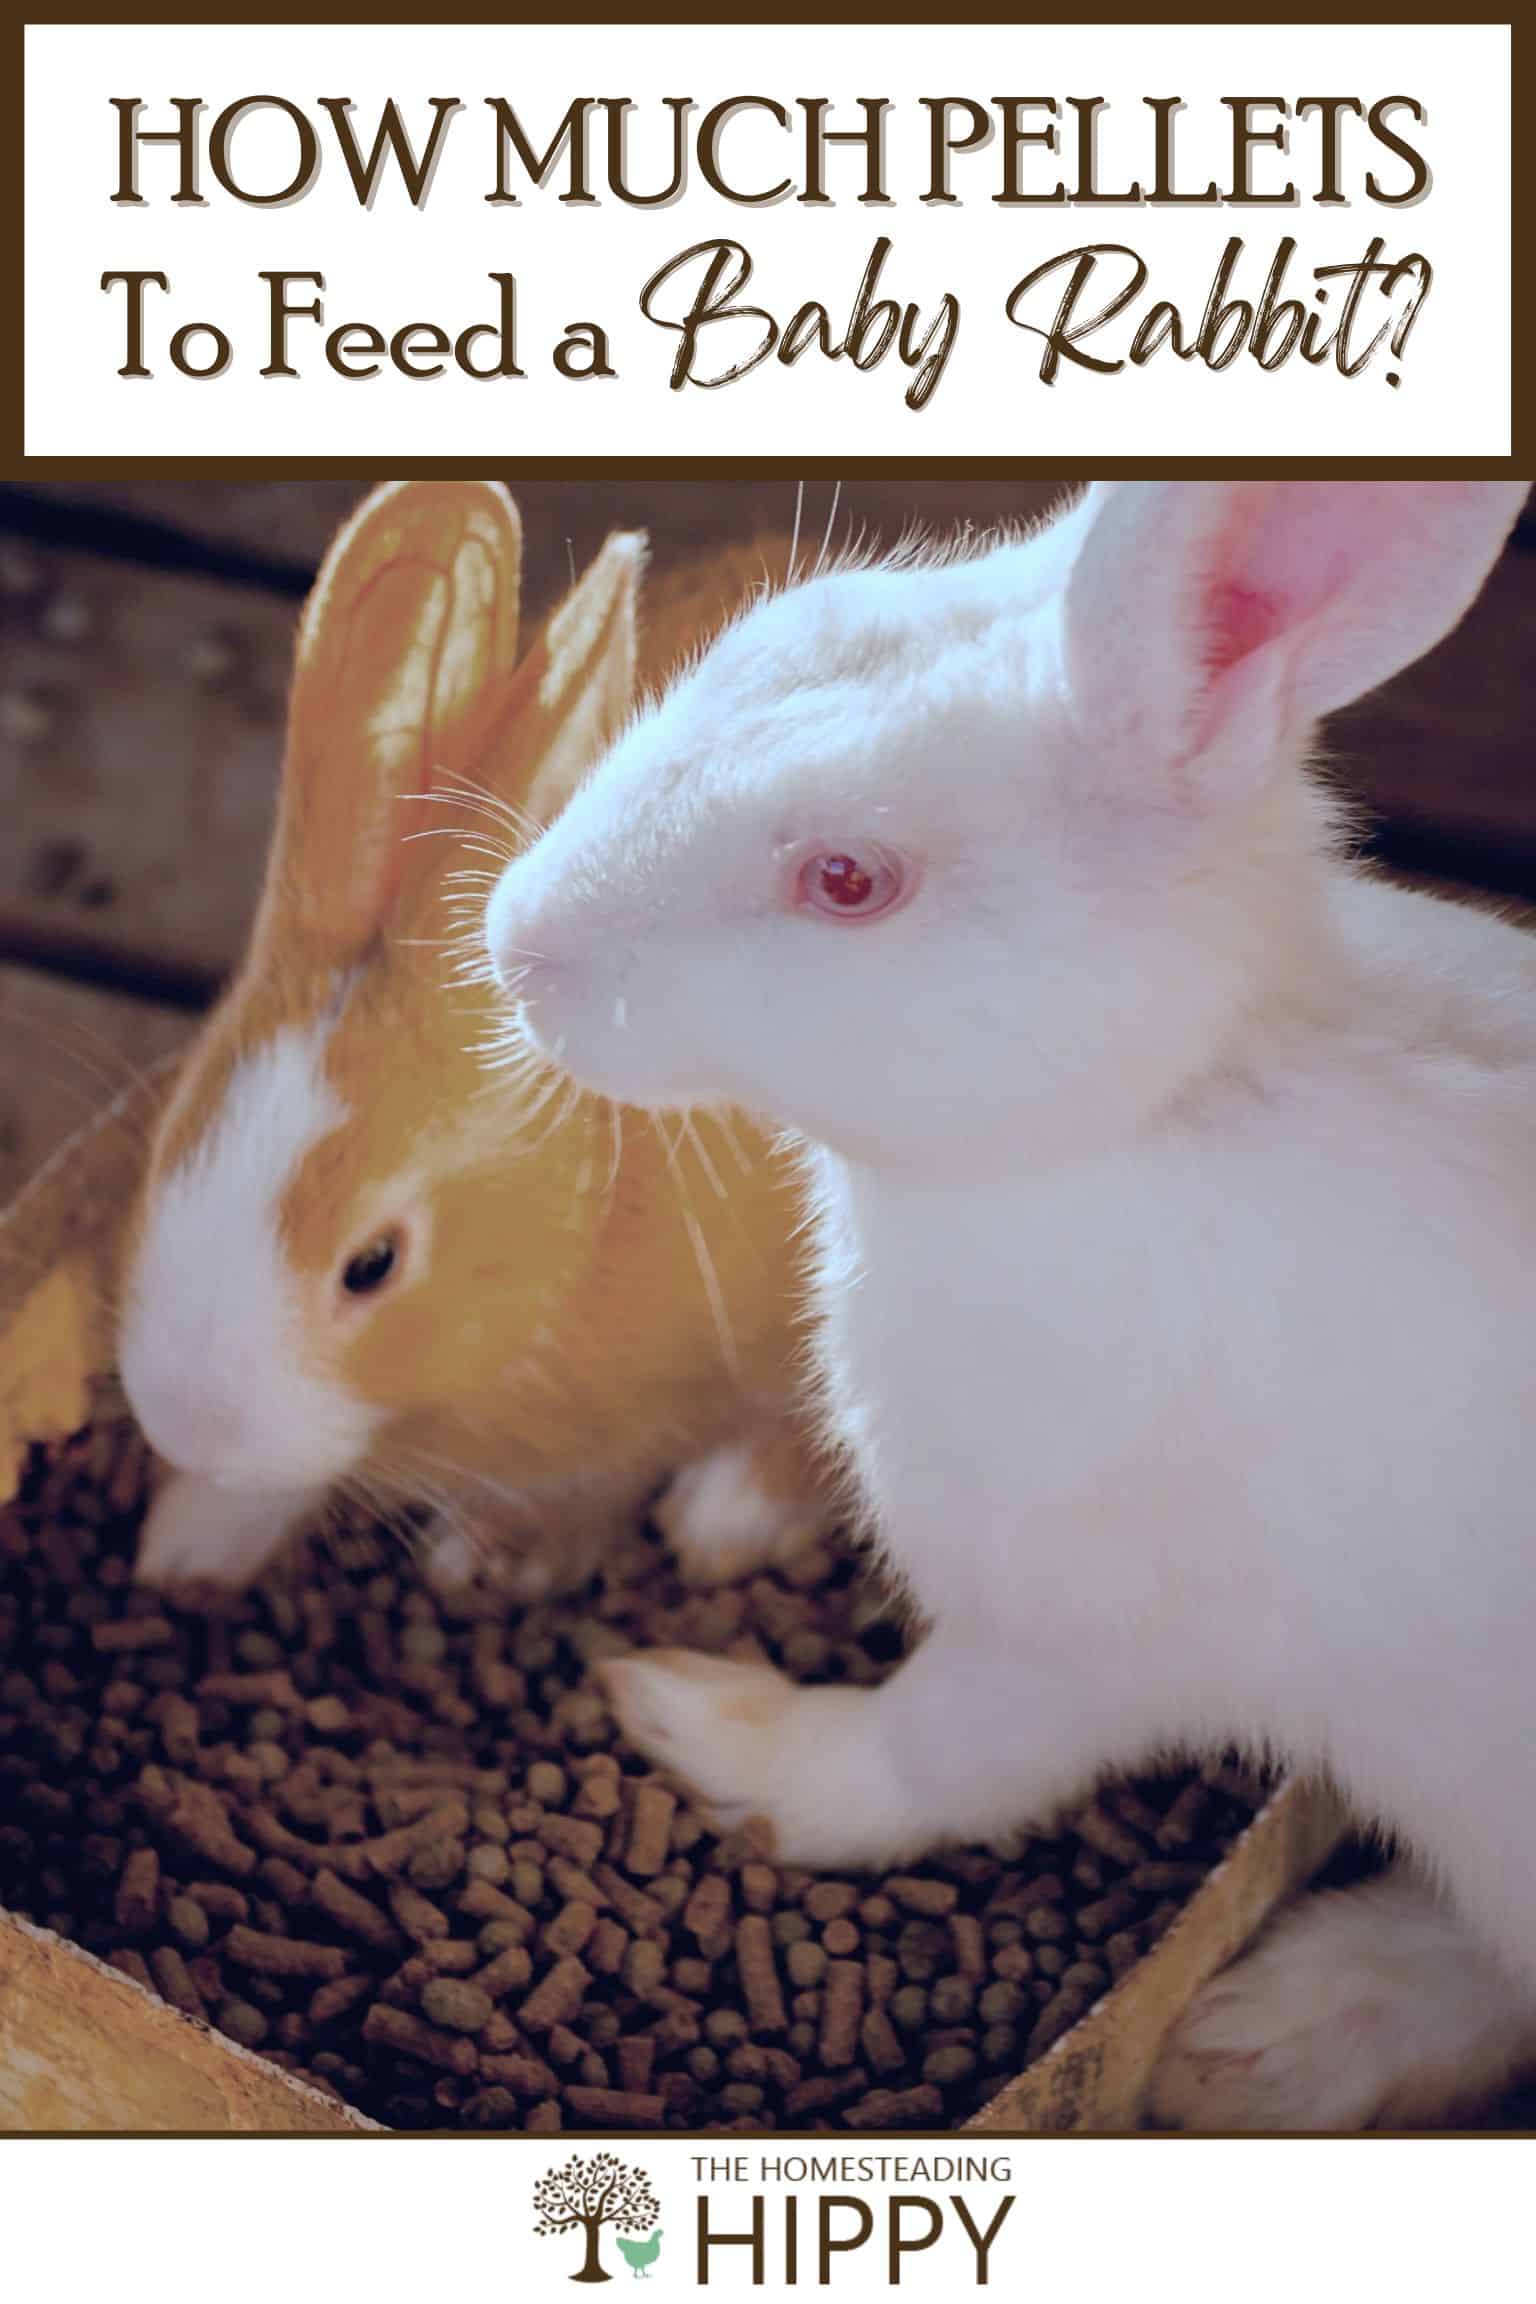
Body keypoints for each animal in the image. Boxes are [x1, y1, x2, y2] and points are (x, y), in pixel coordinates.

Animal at [482, 478, 1536, 2128]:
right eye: (767, 635)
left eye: (850, 882)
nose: (514, 942)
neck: (1157, 1106)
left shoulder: (1066, 1645)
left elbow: (925, 1766)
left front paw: (705, 1724)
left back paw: (1268, 2038)